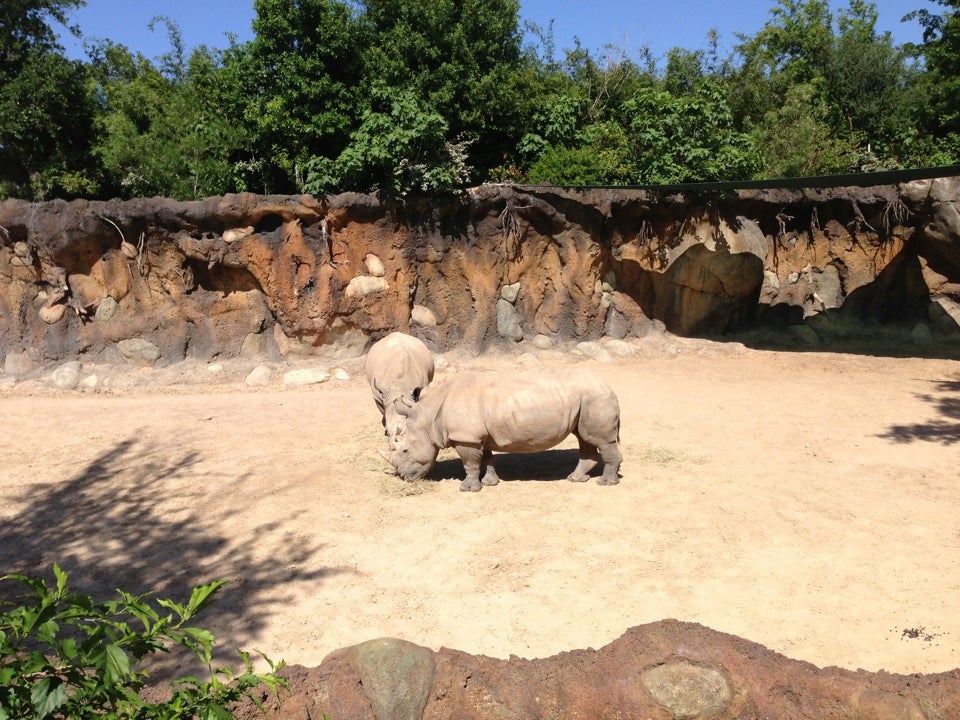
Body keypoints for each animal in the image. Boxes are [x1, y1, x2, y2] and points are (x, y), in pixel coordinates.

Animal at [381, 367, 622, 491]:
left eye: (405, 450)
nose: (403, 477)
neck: (428, 417)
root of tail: (607, 385)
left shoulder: (466, 438)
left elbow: (470, 463)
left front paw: (467, 489)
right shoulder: (477, 436)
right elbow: (486, 459)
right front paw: (490, 483)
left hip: (595, 397)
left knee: (600, 440)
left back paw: (605, 483)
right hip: (586, 398)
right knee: (584, 438)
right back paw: (576, 479)